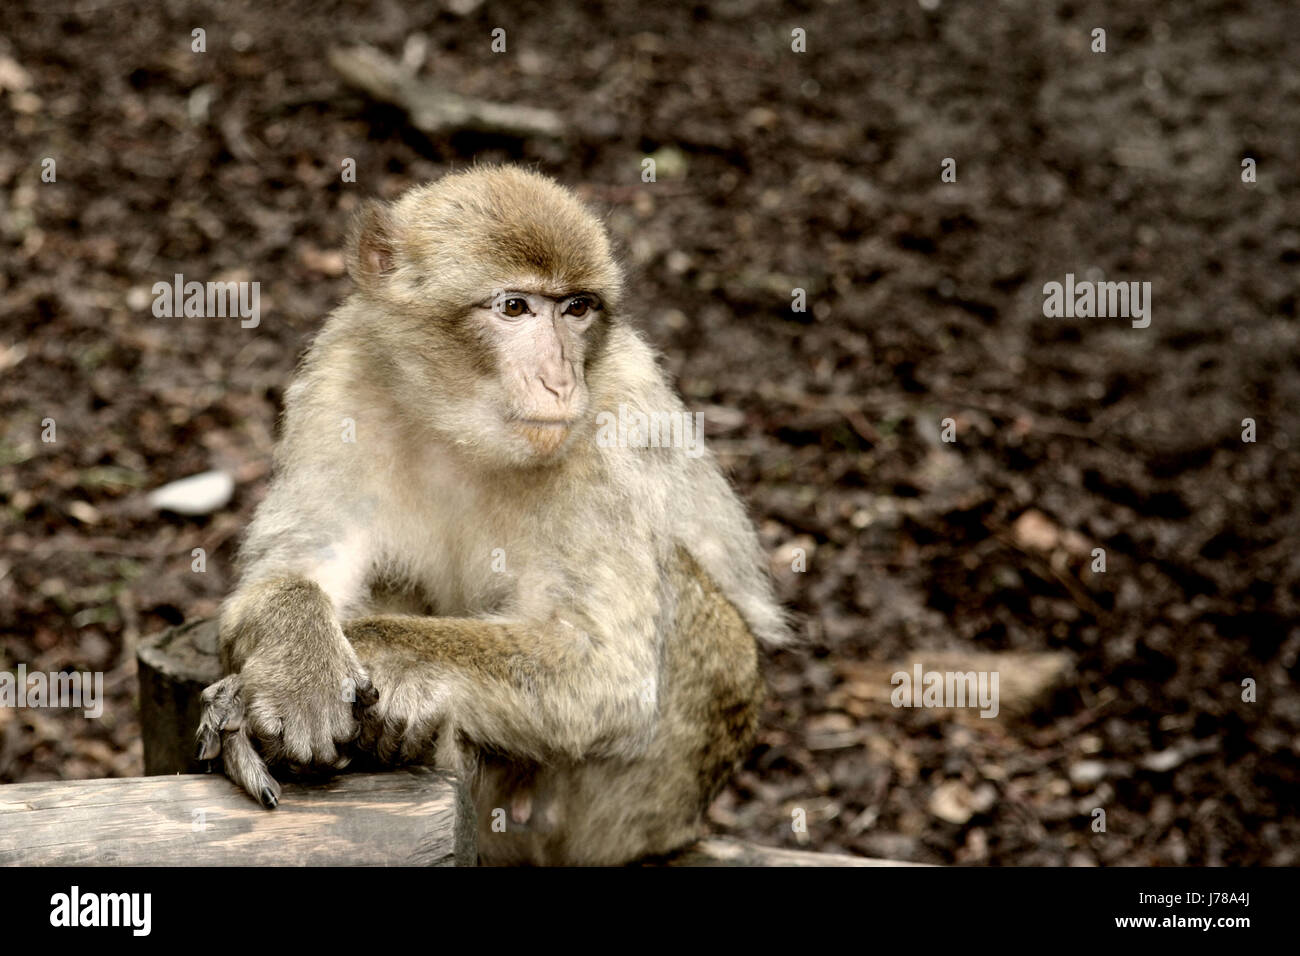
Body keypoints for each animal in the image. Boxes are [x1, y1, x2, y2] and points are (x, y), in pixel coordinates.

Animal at [195, 166, 791, 865]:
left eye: (577, 308)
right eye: (514, 308)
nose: (561, 382)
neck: (462, 427)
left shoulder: (614, 426)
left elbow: (604, 673)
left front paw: (359, 661)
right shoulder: (339, 383)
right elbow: (293, 572)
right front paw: (297, 668)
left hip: (634, 811)